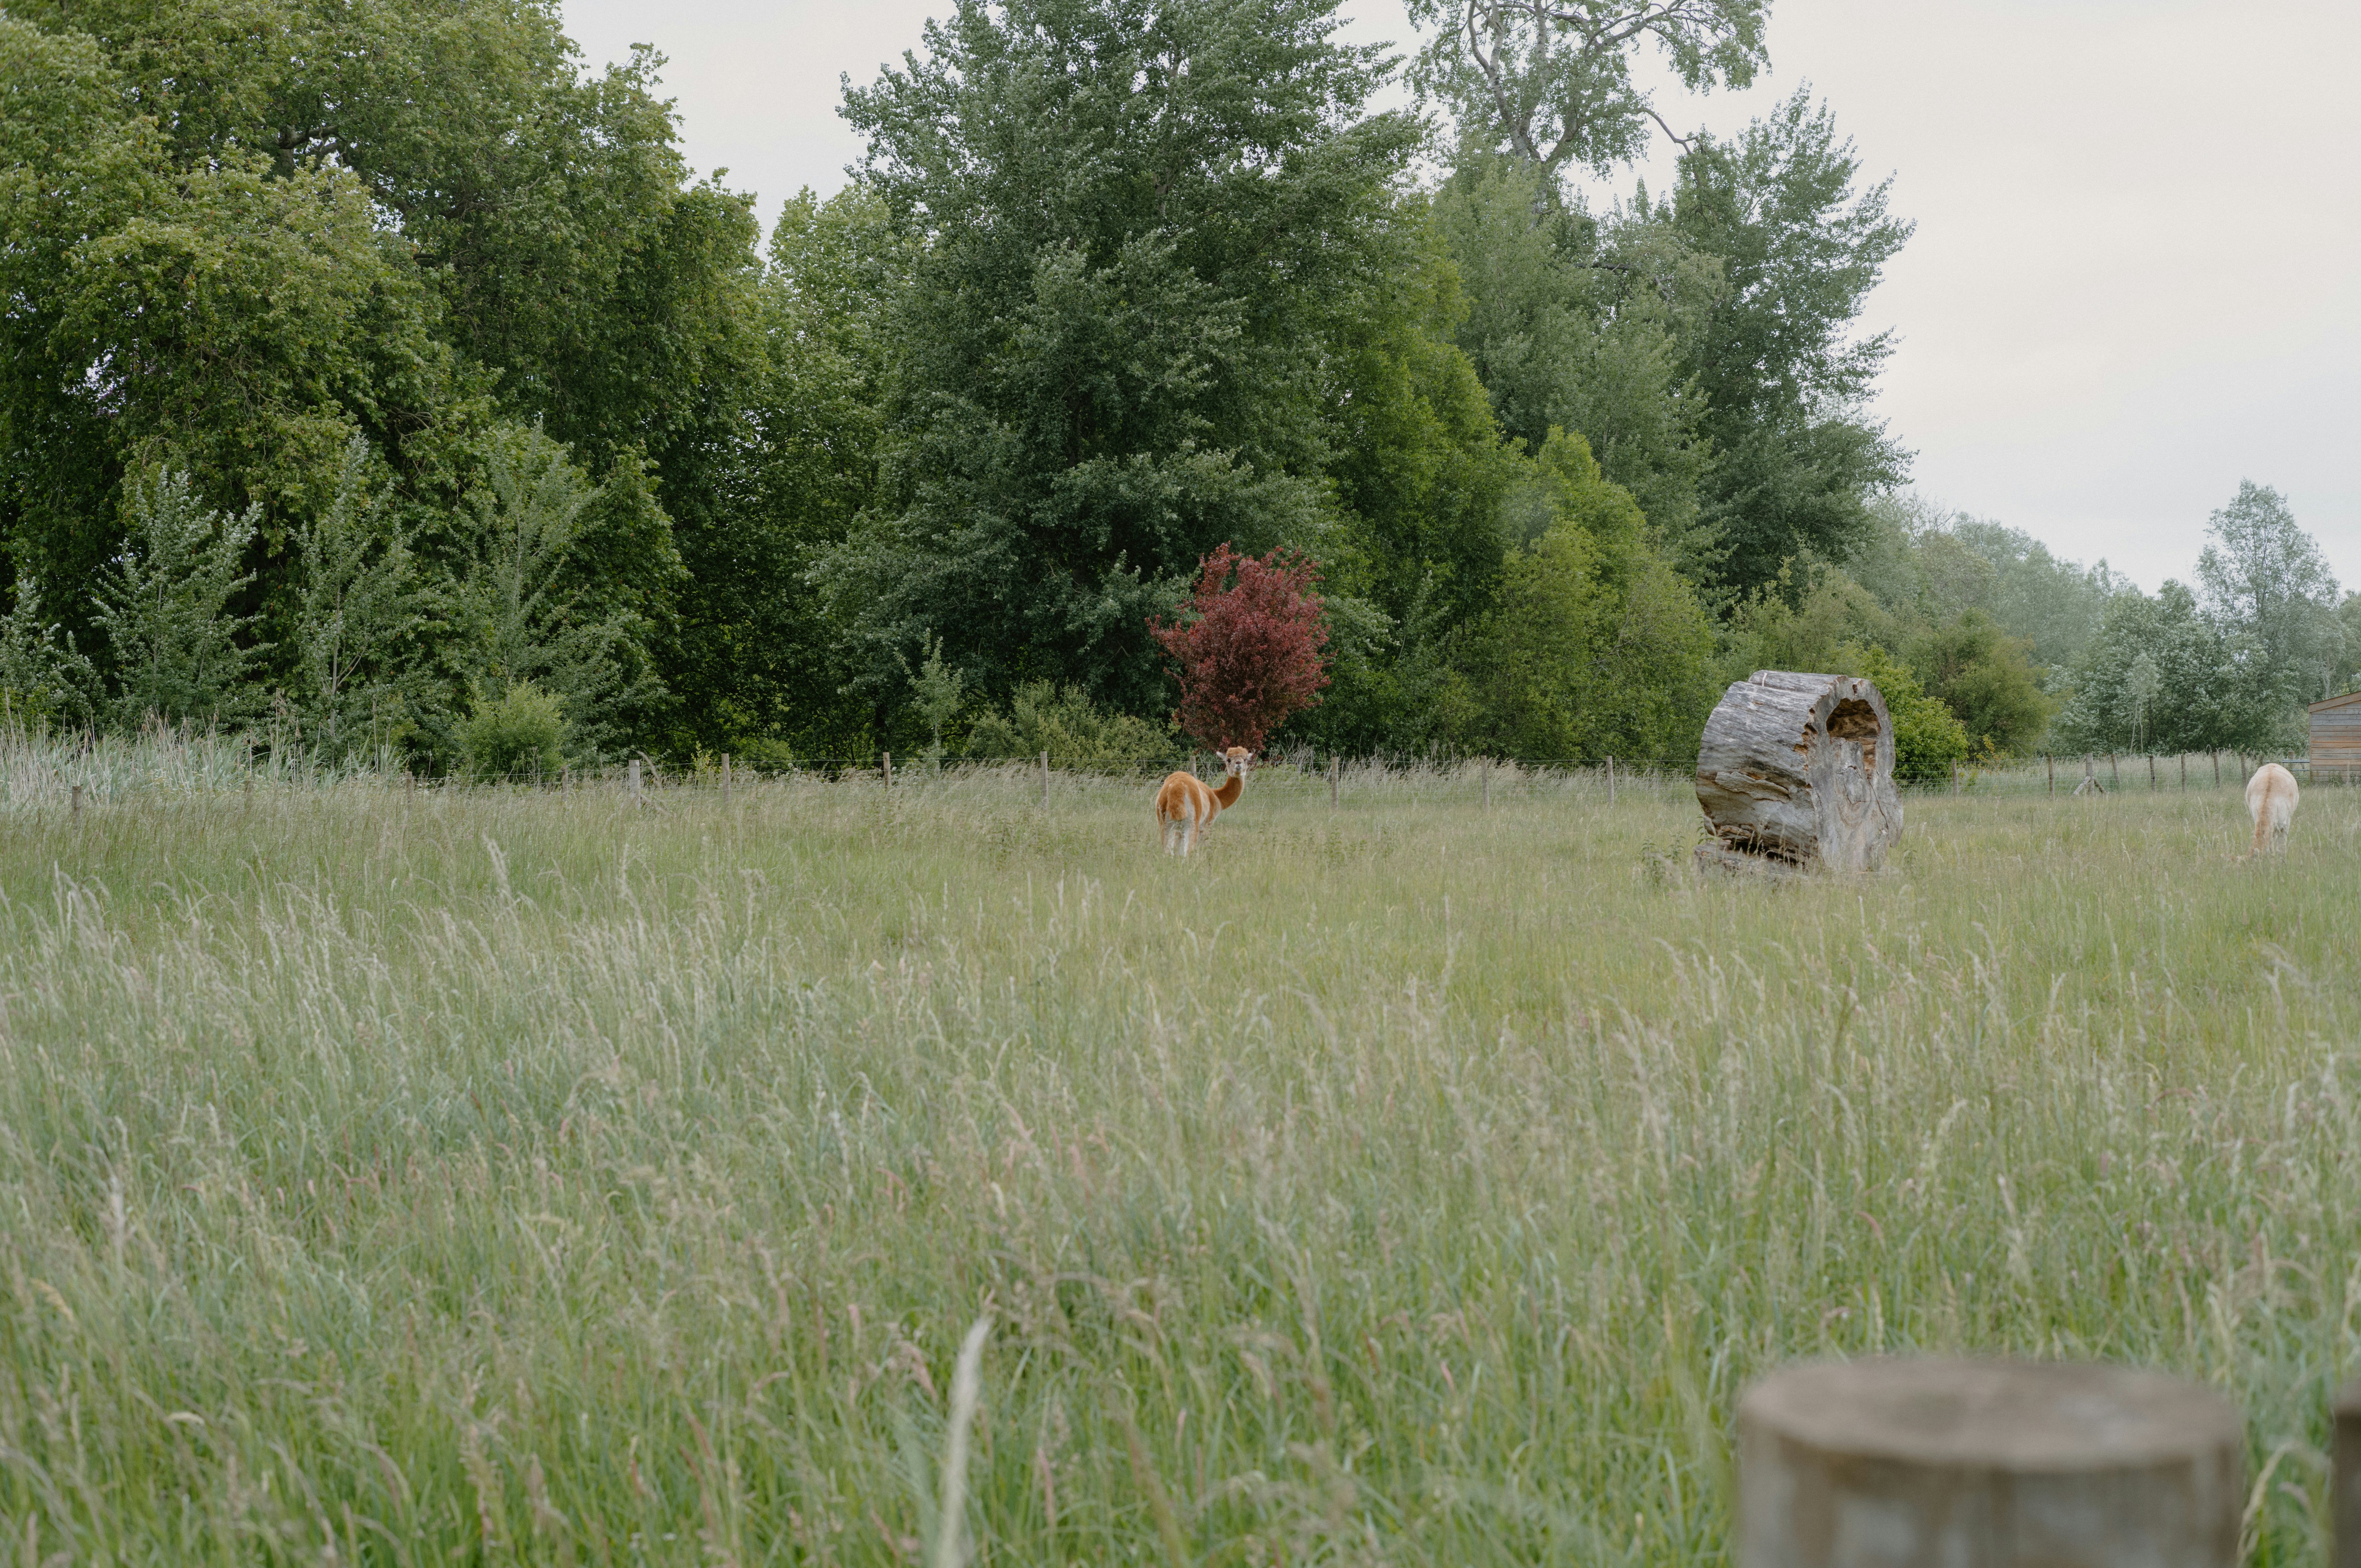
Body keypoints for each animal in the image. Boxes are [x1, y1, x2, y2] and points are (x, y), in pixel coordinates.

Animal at [1155, 747, 1252, 856]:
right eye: (1229, 760)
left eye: (1245, 759)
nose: (1238, 763)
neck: (1217, 797)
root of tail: (1177, 787)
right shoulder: (1207, 823)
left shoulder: (1179, 830)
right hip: (1193, 821)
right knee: (1189, 851)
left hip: (1164, 821)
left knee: (1167, 851)